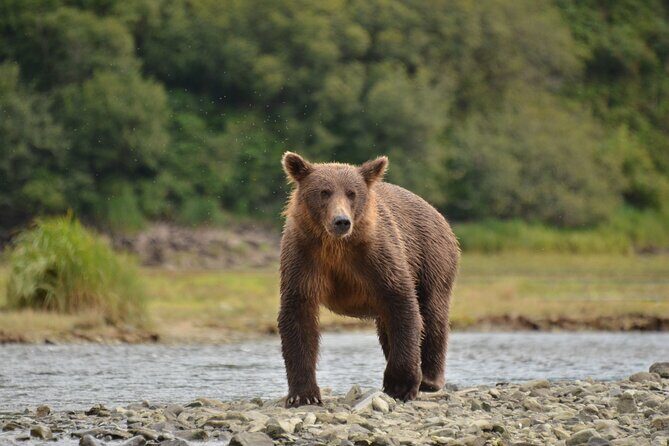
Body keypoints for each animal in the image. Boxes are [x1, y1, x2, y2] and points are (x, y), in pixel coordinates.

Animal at [278, 152, 460, 407]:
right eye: (324, 192)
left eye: (352, 193)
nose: (341, 221)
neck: (336, 247)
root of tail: (437, 213)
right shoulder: (304, 257)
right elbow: (298, 315)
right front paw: (304, 395)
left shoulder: (377, 257)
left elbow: (402, 302)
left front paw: (401, 385)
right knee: (387, 324)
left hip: (431, 257)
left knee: (432, 312)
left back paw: (430, 379)